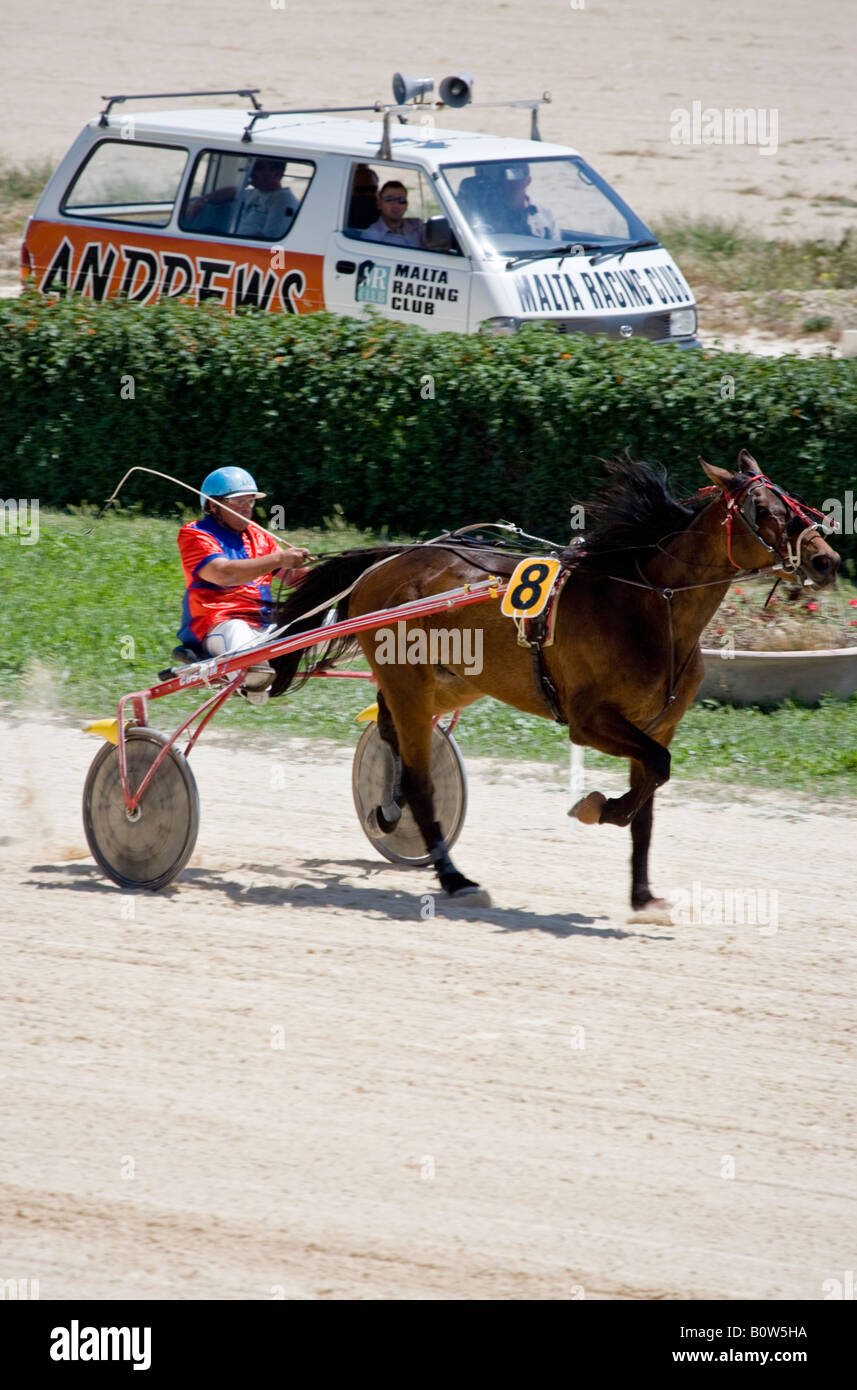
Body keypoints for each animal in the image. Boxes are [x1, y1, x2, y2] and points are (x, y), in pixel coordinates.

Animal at [270, 450, 839, 912]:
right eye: (764, 509)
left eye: (794, 502)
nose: (826, 560)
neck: (648, 607)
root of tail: (385, 561)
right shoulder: (589, 721)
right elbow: (655, 770)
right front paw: (599, 808)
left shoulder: (659, 723)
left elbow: (650, 797)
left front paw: (643, 894)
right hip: (409, 679)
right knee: (418, 776)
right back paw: (454, 878)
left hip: (450, 680)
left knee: (390, 728)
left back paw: (391, 813)